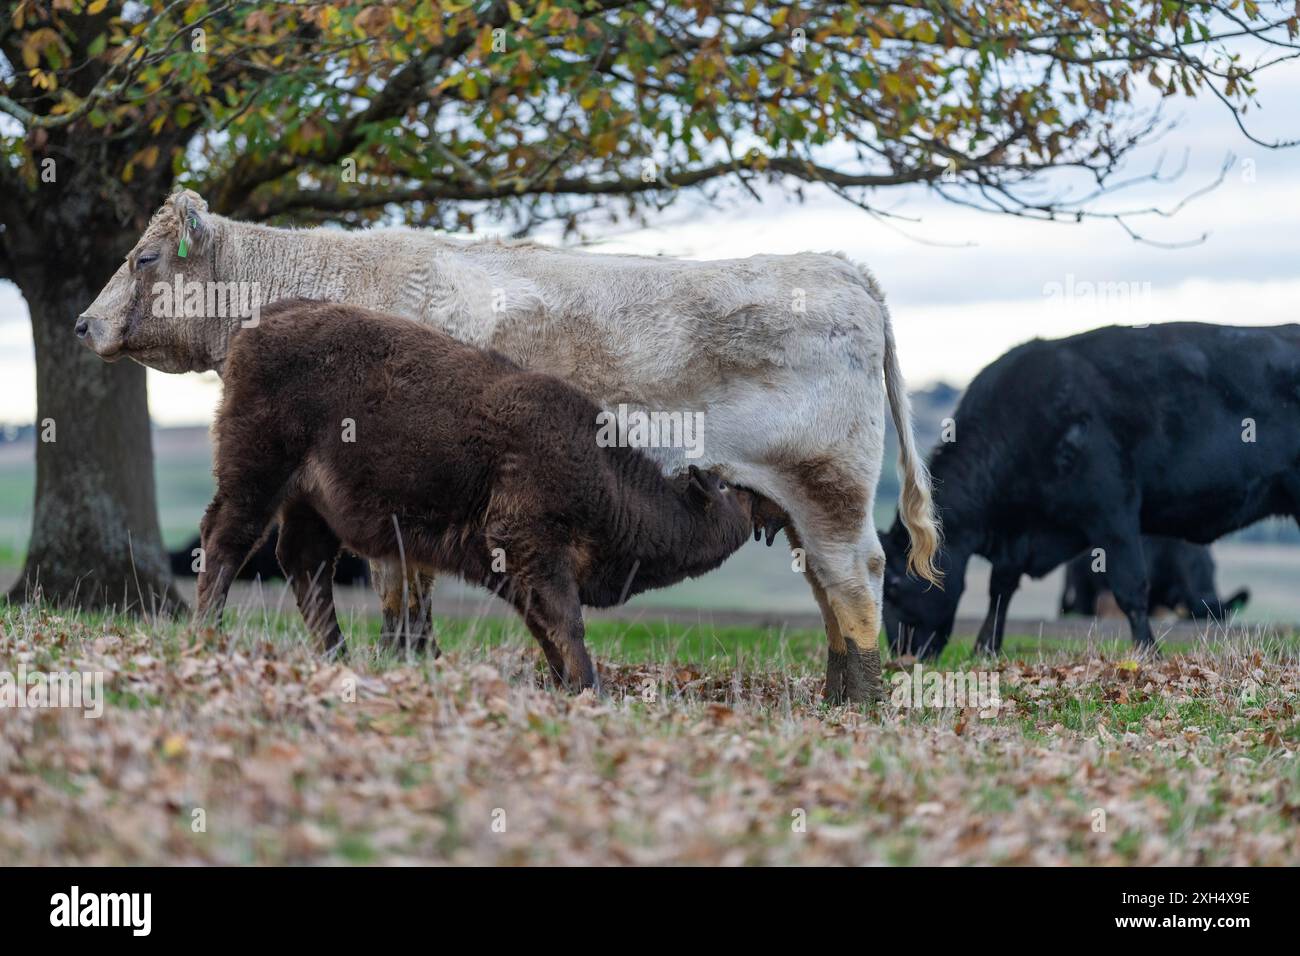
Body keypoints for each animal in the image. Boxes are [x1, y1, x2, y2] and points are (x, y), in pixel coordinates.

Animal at [77, 190, 942, 704]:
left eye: (143, 258)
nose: (84, 324)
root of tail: (842, 268)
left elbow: (401, 586)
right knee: (829, 588)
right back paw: (838, 691)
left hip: (829, 490)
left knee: (854, 579)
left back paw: (860, 698)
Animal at [880, 322, 1300, 658]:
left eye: (895, 585)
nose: (900, 653)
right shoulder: (1021, 534)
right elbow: (1001, 587)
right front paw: (986, 649)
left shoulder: (1113, 512)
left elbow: (1131, 588)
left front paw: (1148, 654)